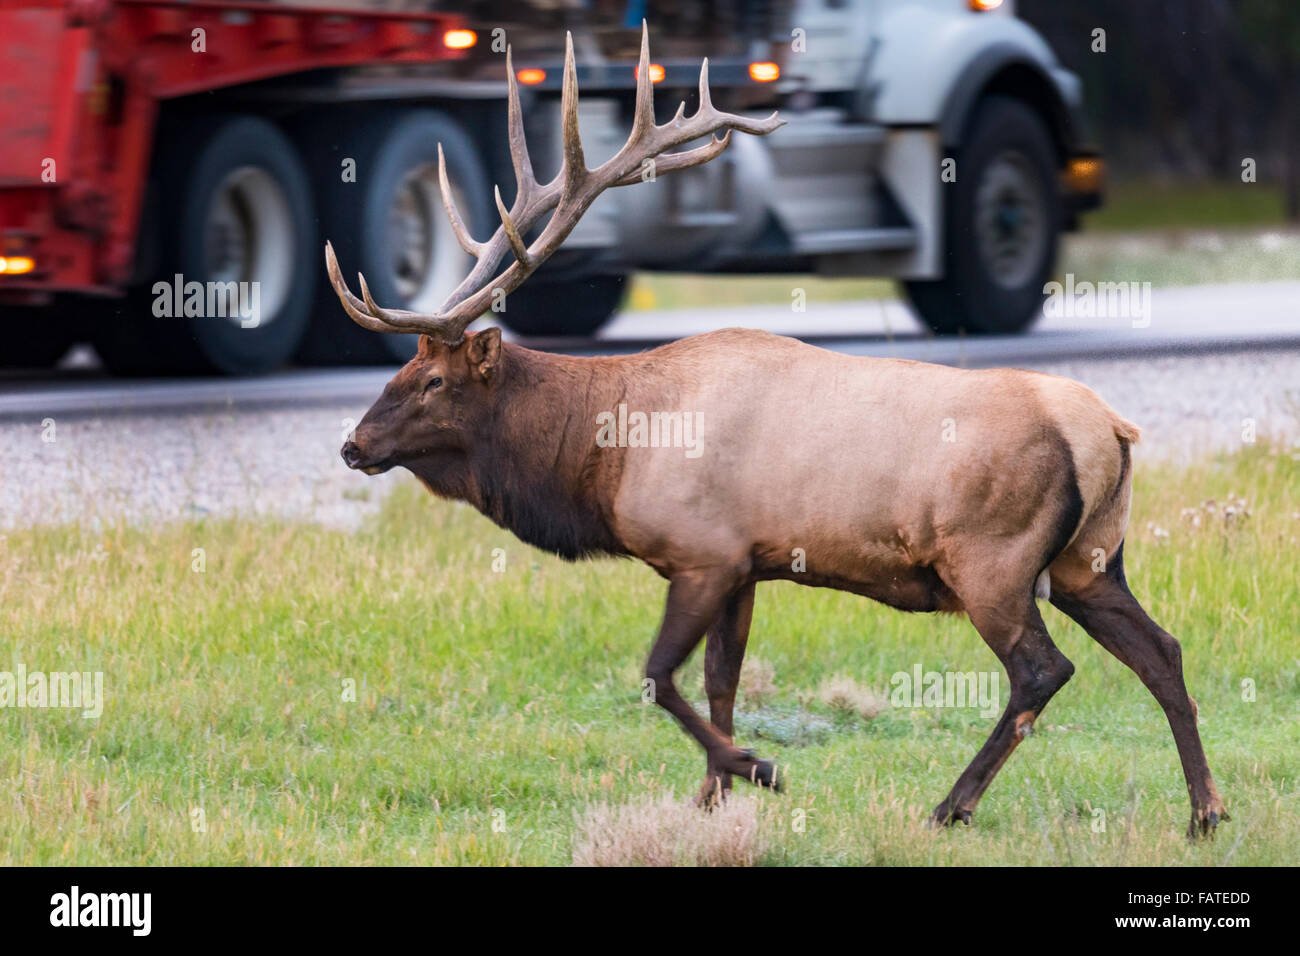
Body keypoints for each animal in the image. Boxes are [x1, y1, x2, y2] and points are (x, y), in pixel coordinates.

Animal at [327, 24, 1228, 837]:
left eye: (432, 380)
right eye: (403, 371)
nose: (353, 444)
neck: (605, 455)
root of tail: (1108, 430)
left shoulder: (703, 551)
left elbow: (658, 675)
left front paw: (756, 768)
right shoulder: (747, 561)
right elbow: (721, 678)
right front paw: (712, 797)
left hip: (991, 559)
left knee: (1042, 671)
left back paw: (952, 805)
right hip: (1090, 559)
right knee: (1164, 651)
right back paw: (1205, 811)